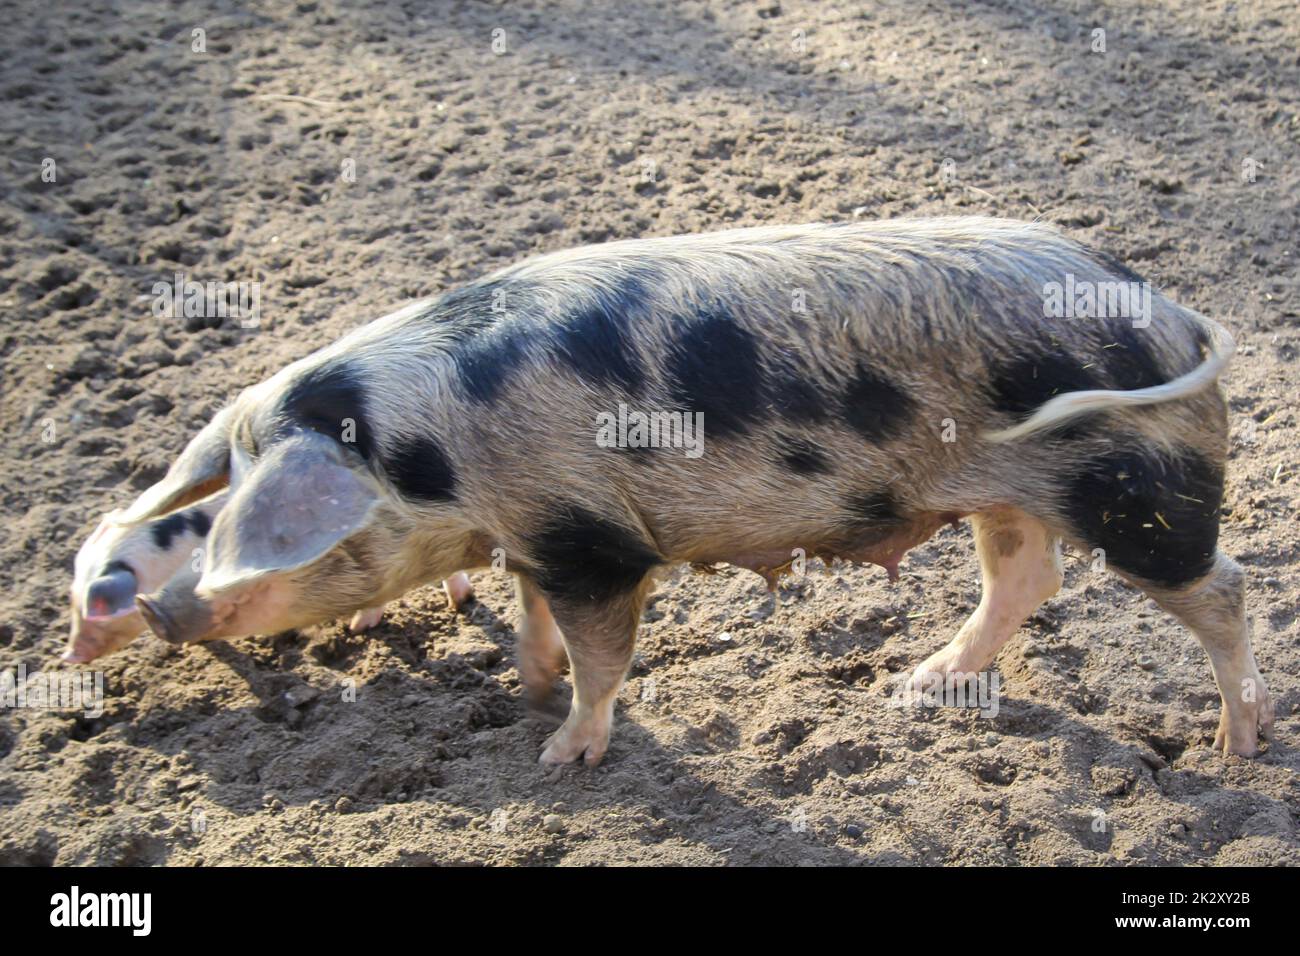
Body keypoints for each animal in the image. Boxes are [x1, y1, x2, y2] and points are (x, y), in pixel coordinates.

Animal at [105, 217, 1271, 765]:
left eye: (251, 537)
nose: (160, 610)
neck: (432, 458)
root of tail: (1173, 312)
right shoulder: (532, 534)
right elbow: (534, 617)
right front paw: (525, 685)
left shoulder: (593, 541)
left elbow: (602, 655)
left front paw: (560, 752)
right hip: (1011, 489)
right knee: (1025, 579)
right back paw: (916, 685)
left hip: (1136, 489)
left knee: (1223, 586)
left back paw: (1234, 747)